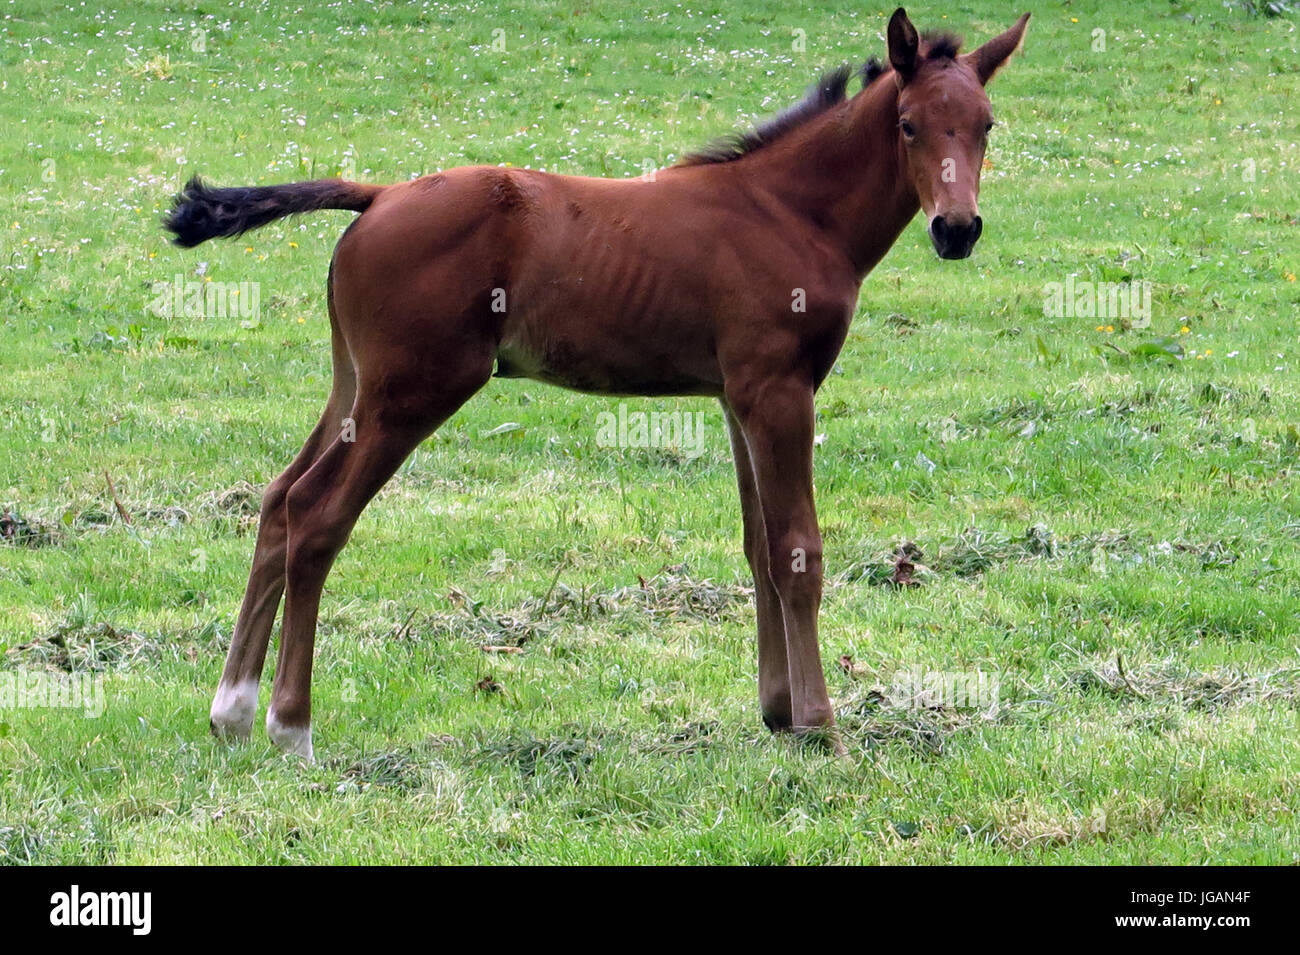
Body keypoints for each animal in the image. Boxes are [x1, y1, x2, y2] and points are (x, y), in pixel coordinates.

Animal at [165, 8, 1030, 759]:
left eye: (986, 124)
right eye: (910, 124)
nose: (957, 230)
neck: (790, 212)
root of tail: (378, 196)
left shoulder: (738, 396)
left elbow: (756, 545)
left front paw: (777, 711)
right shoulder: (780, 390)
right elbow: (795, 552)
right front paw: (820, 726)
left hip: (355, 385)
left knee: (278, 500)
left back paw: (231, 711)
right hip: (412, 392)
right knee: (317, 515)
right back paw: (290, 727)